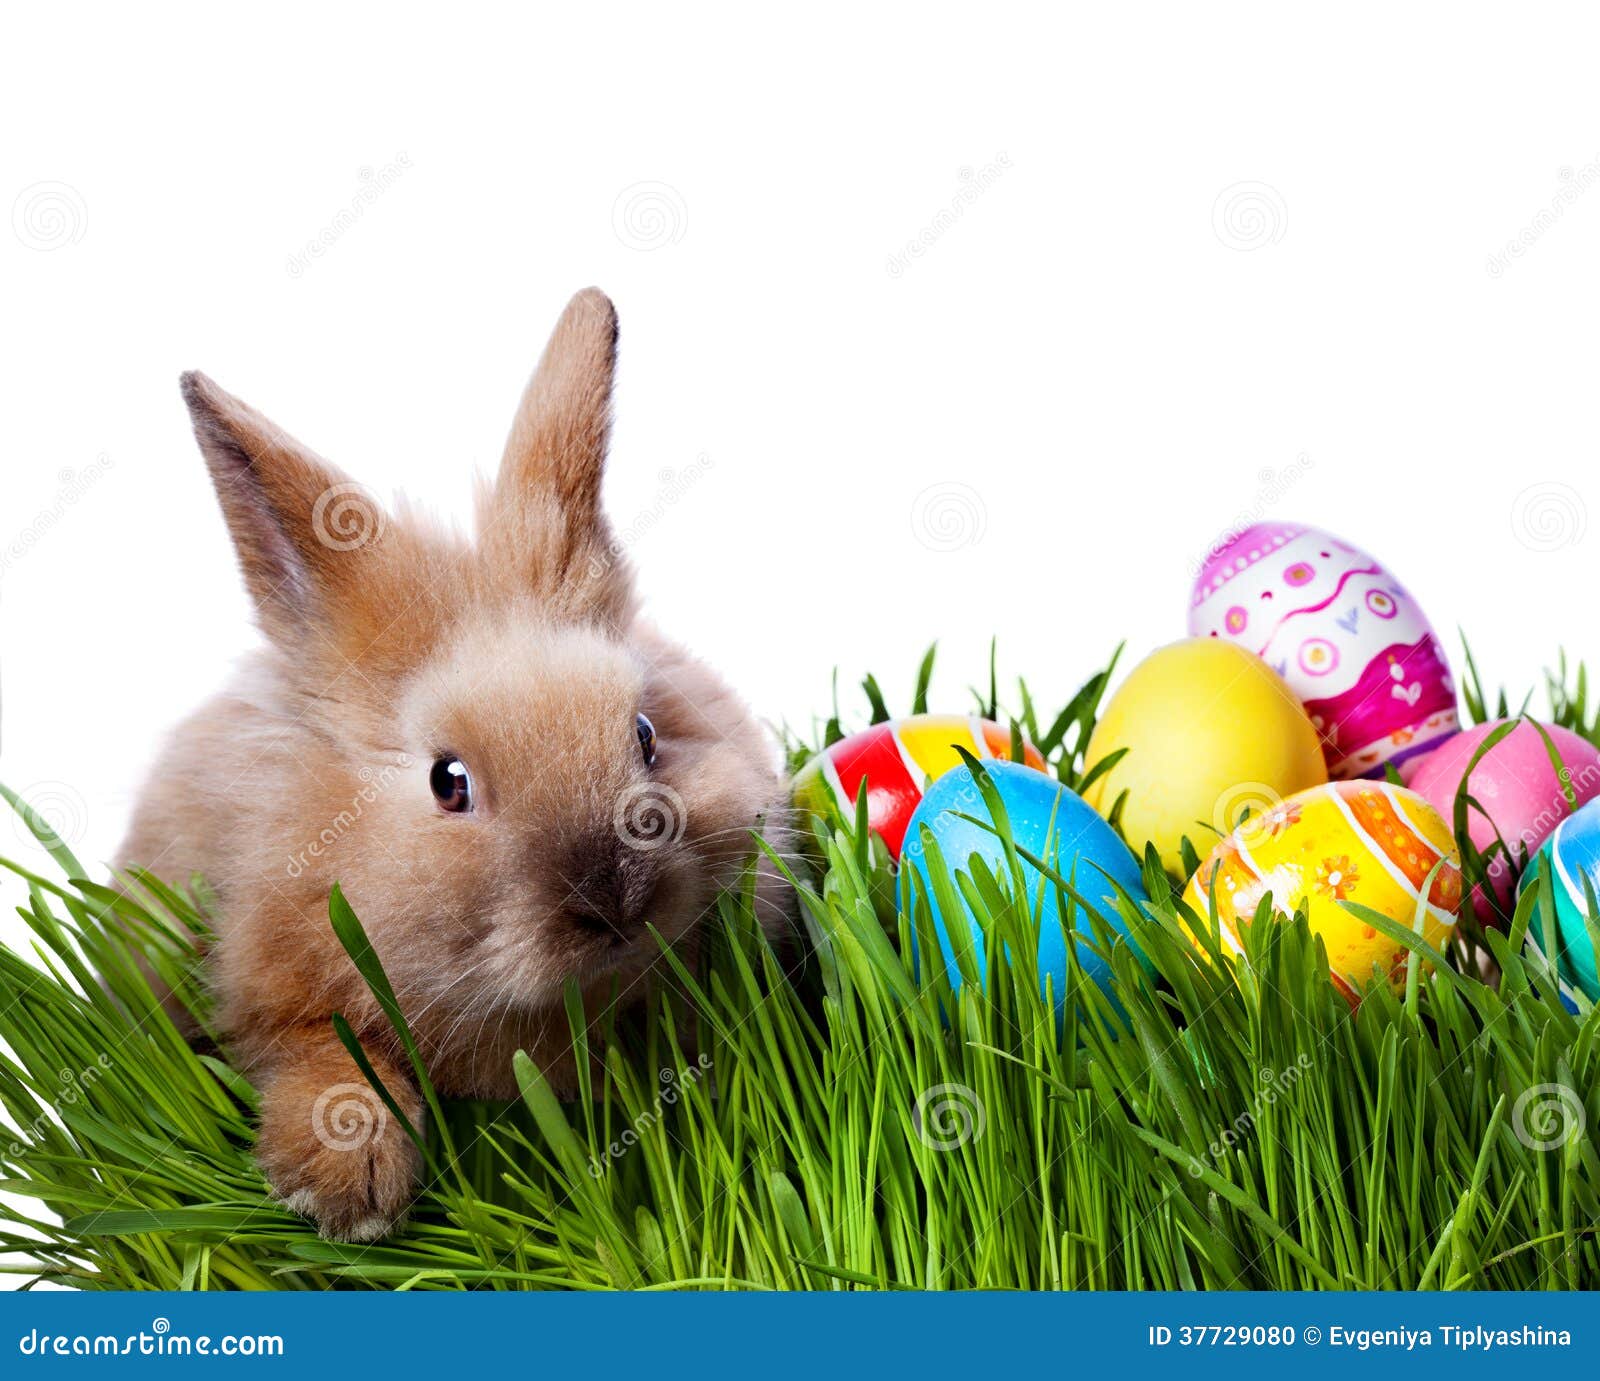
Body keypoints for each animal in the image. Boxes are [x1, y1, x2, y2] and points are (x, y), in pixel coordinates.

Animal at [118, 289, 793, 1241]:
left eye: (646, 733)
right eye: (449, 782)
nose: (616, 899)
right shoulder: (267, 981)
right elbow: (311, 1052)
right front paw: (347, 1191)